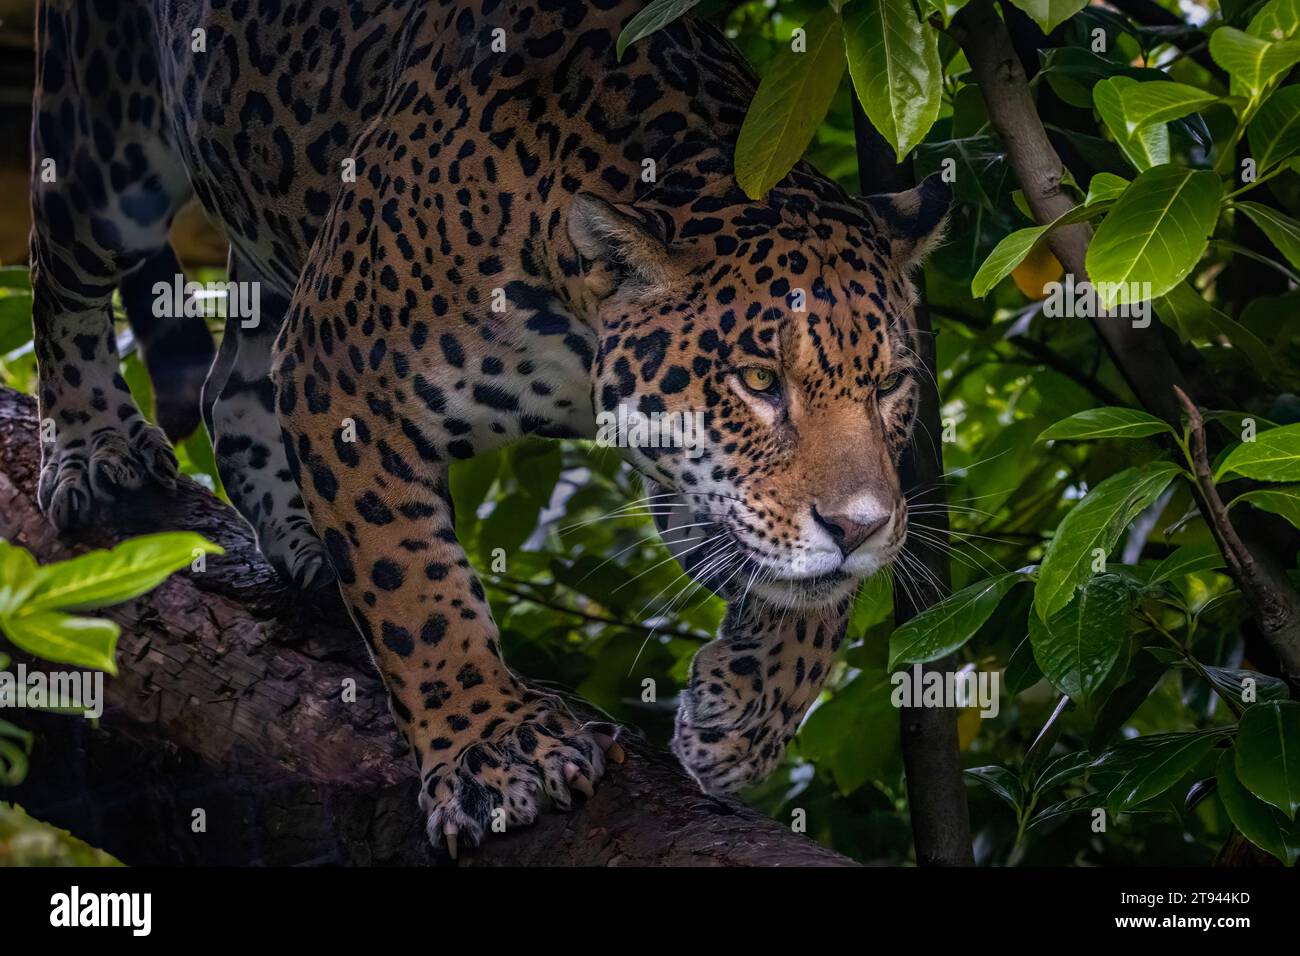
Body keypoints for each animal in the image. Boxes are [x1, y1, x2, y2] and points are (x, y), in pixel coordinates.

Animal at [28, 0, 947, 857]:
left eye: (889, 385)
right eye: (759, 382)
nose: (860, 530)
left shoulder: (697, 479)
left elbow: (806, 589)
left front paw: (740, 717)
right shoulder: (341, 372)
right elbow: (411, 581)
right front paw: (494, 751)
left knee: (233, 389)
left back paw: (300, 537)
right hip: (107, 152)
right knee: (57, 269)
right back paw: (95, 446)